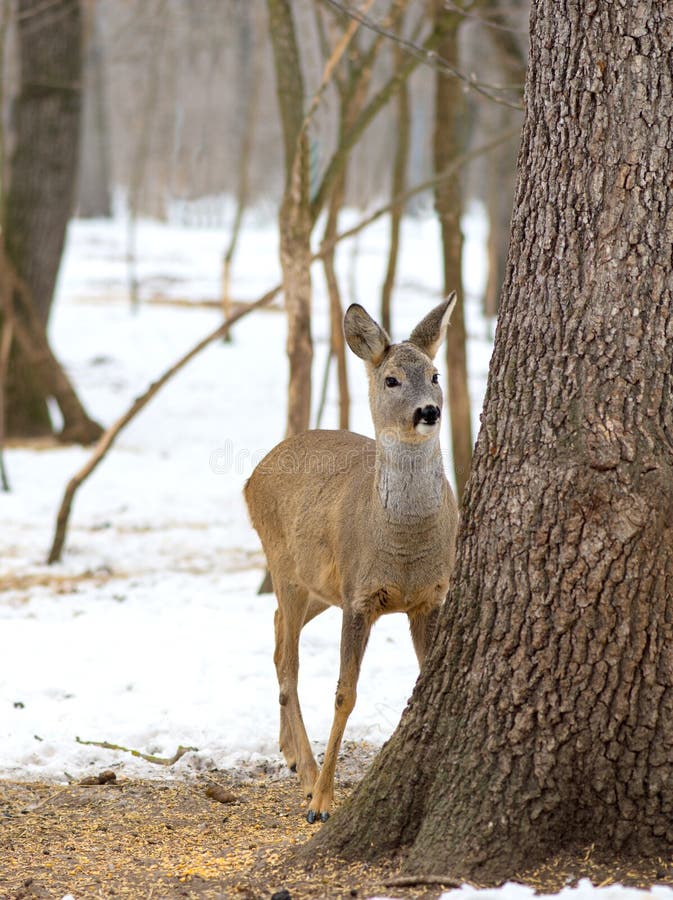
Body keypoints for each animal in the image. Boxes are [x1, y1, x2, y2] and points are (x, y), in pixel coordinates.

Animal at [244, 296, 459, 823]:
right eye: (391, 379)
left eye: (435, 374)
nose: (429, 411)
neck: (403, 548)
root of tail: (253, 475)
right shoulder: (360, 596)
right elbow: (344, 693)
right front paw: (322, 803)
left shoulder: (429, 597)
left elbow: (421, 678)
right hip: (282, 562)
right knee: (289, 663)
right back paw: (305, 774)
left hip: (318, 586)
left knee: (277, 630)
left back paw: (290, 754)